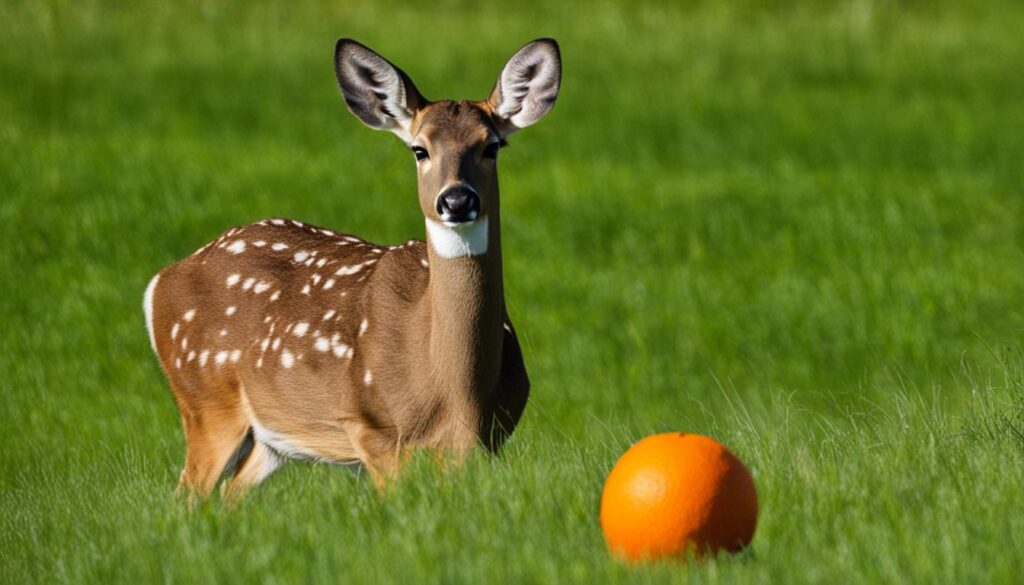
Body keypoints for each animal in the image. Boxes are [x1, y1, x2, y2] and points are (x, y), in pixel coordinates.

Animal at [143, 38, 561, 499]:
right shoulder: (372, 431)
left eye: (492, 146)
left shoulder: (486, 444)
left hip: (269, 436)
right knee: (186, 496)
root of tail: (160, 280)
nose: (456, 200)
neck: (457, 394)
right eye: (419, 149)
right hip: (205, 400)